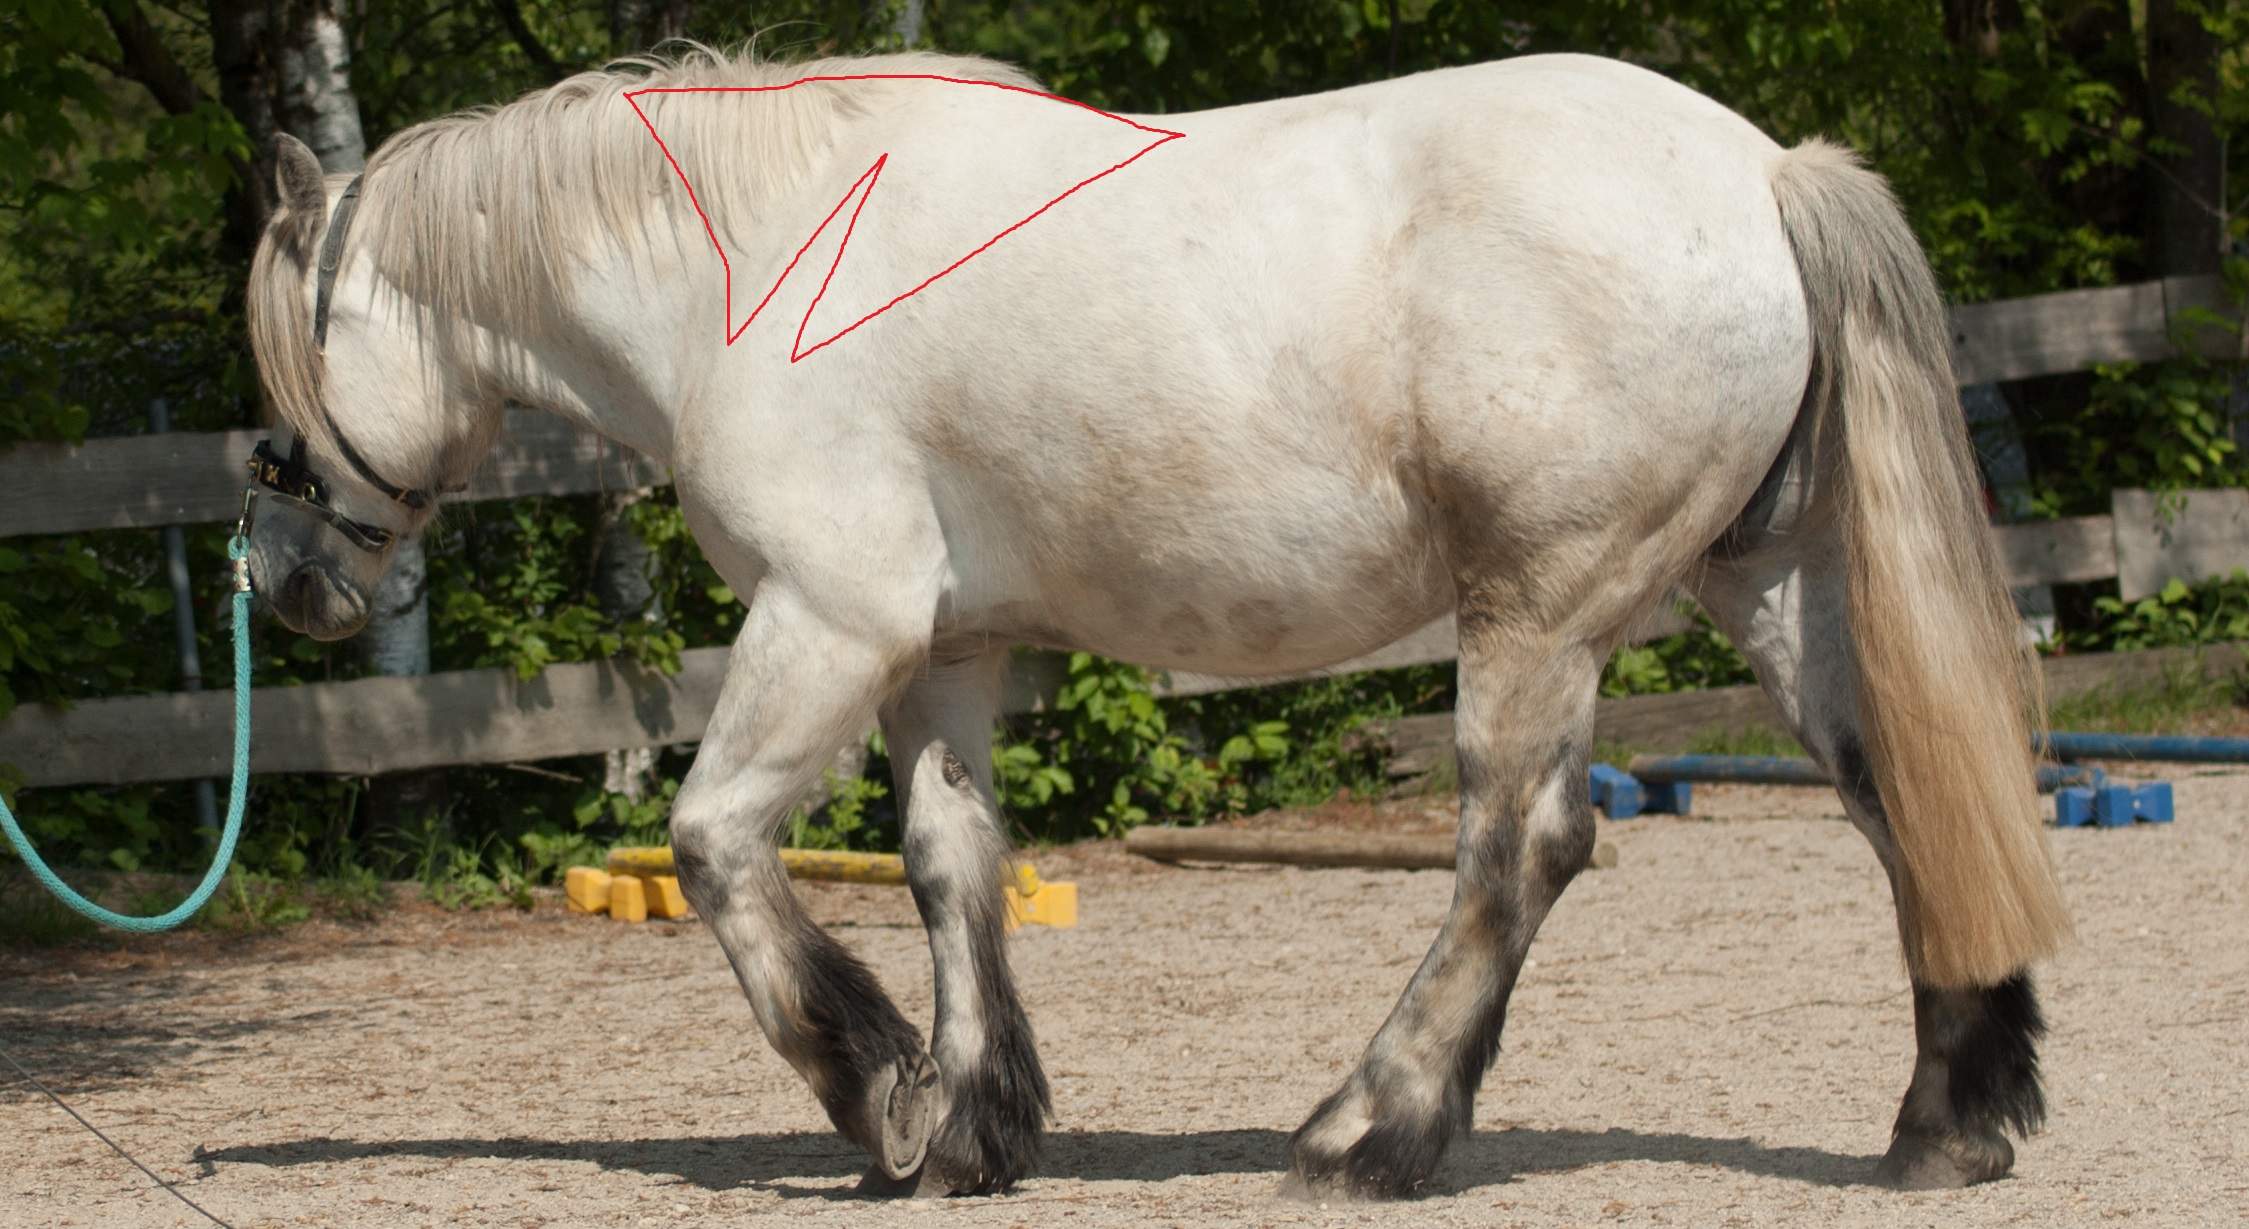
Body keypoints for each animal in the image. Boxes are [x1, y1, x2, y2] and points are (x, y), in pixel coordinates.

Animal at [240, 47, 2070, 1199]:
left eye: (287, 356)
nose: (282, 580)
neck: (748, 266)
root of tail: (1761, 172)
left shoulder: (827, 623)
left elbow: (711, 843)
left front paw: (872, 1085)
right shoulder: (939, 654)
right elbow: (948, 868)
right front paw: (971, 1124)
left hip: (1540, 608)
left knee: (1518, 849)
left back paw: (1367, 1129)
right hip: (1766, 582)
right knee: (1901, 798)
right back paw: (1945, 1122)